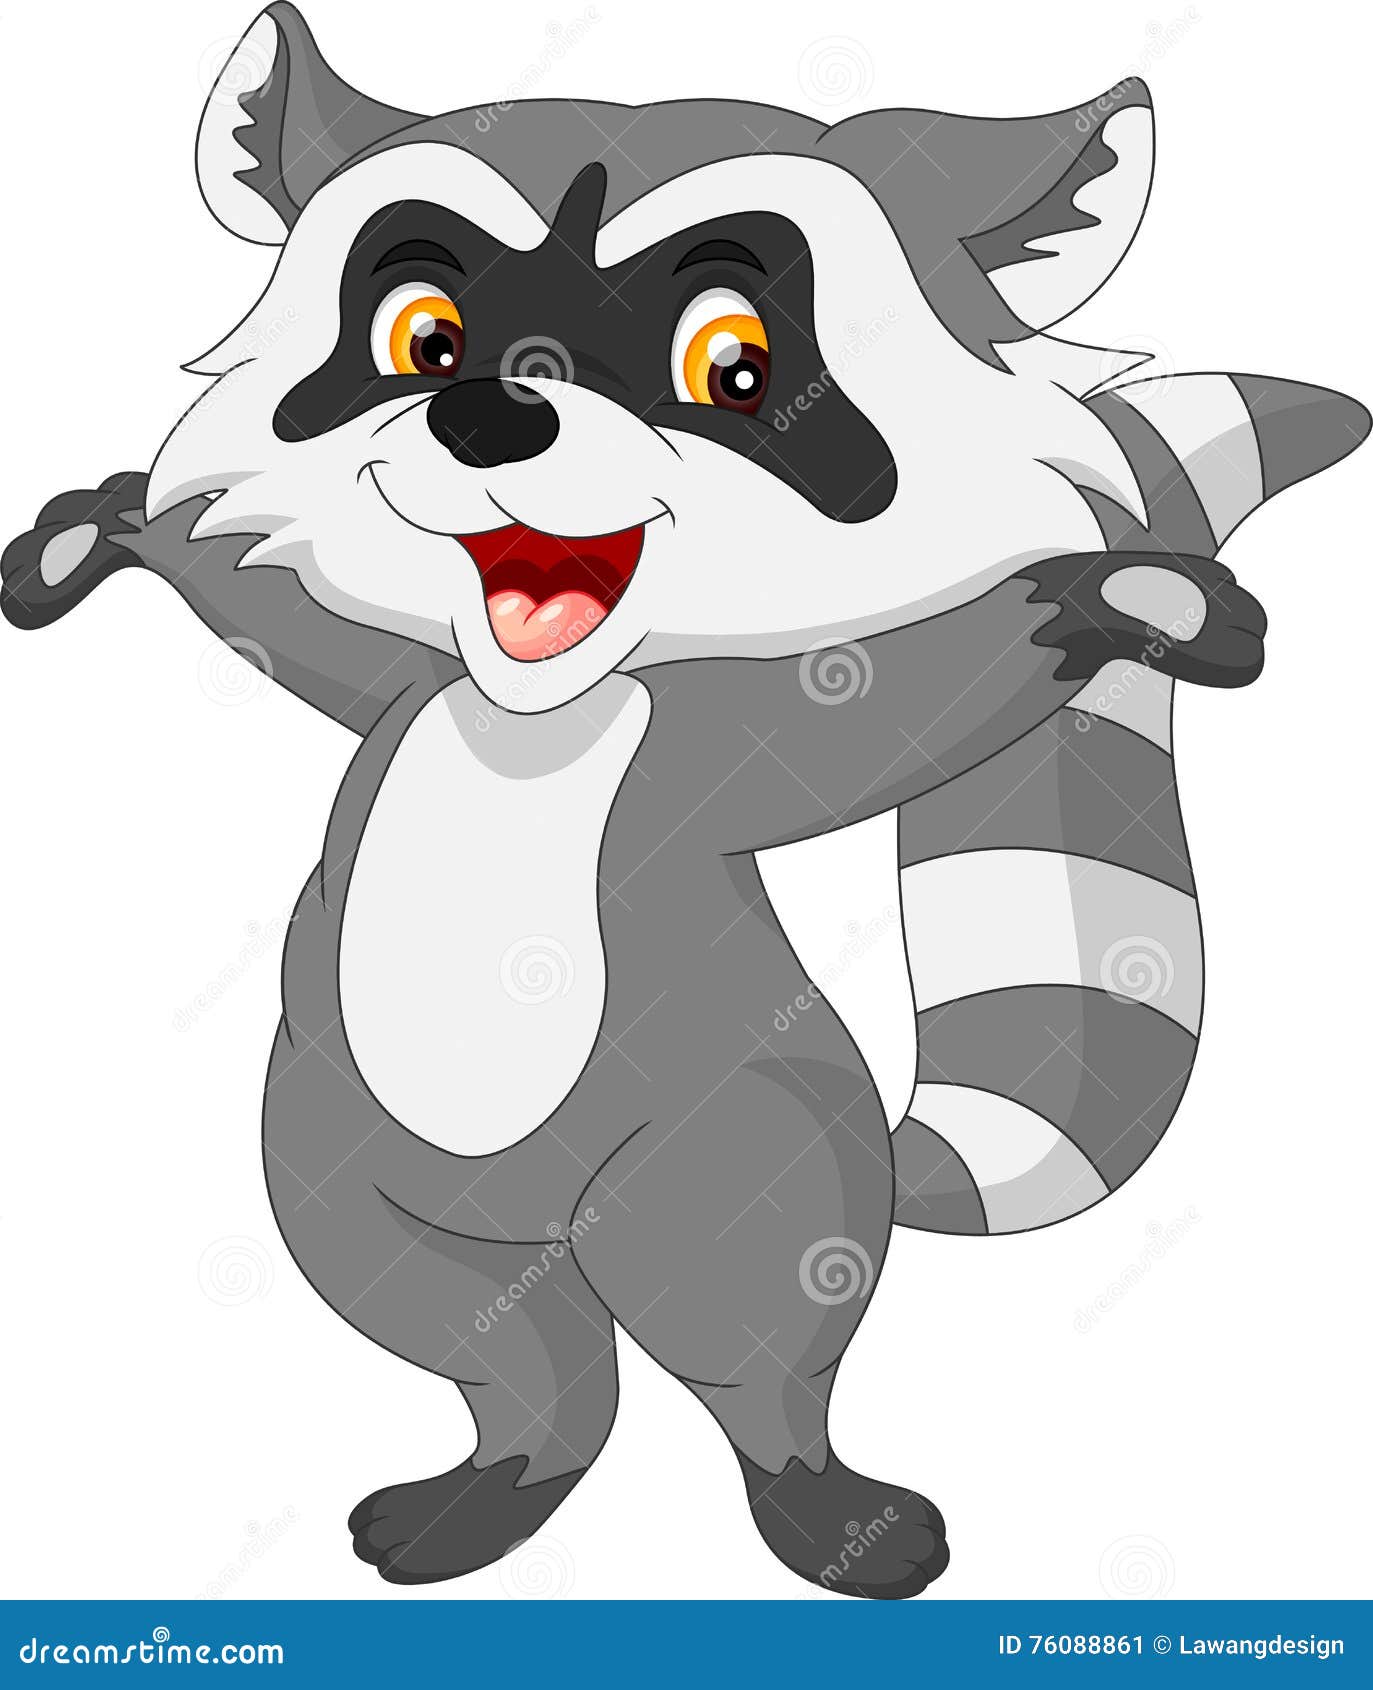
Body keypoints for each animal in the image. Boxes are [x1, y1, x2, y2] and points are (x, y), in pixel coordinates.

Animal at [3, 3, 1365, 1598]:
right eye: (423, 337)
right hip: (340, 1154)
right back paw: (510, 1465)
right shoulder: (395, 693)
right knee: (477, 1329)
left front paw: (1108, 602)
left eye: (733, 369)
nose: (487, 412)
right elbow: (280, 627)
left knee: (747, 1311)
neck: (535, 708)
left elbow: (909, 703)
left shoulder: (730, 745)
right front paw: (117, 531)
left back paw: (811, 1490)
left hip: (730, 1143)